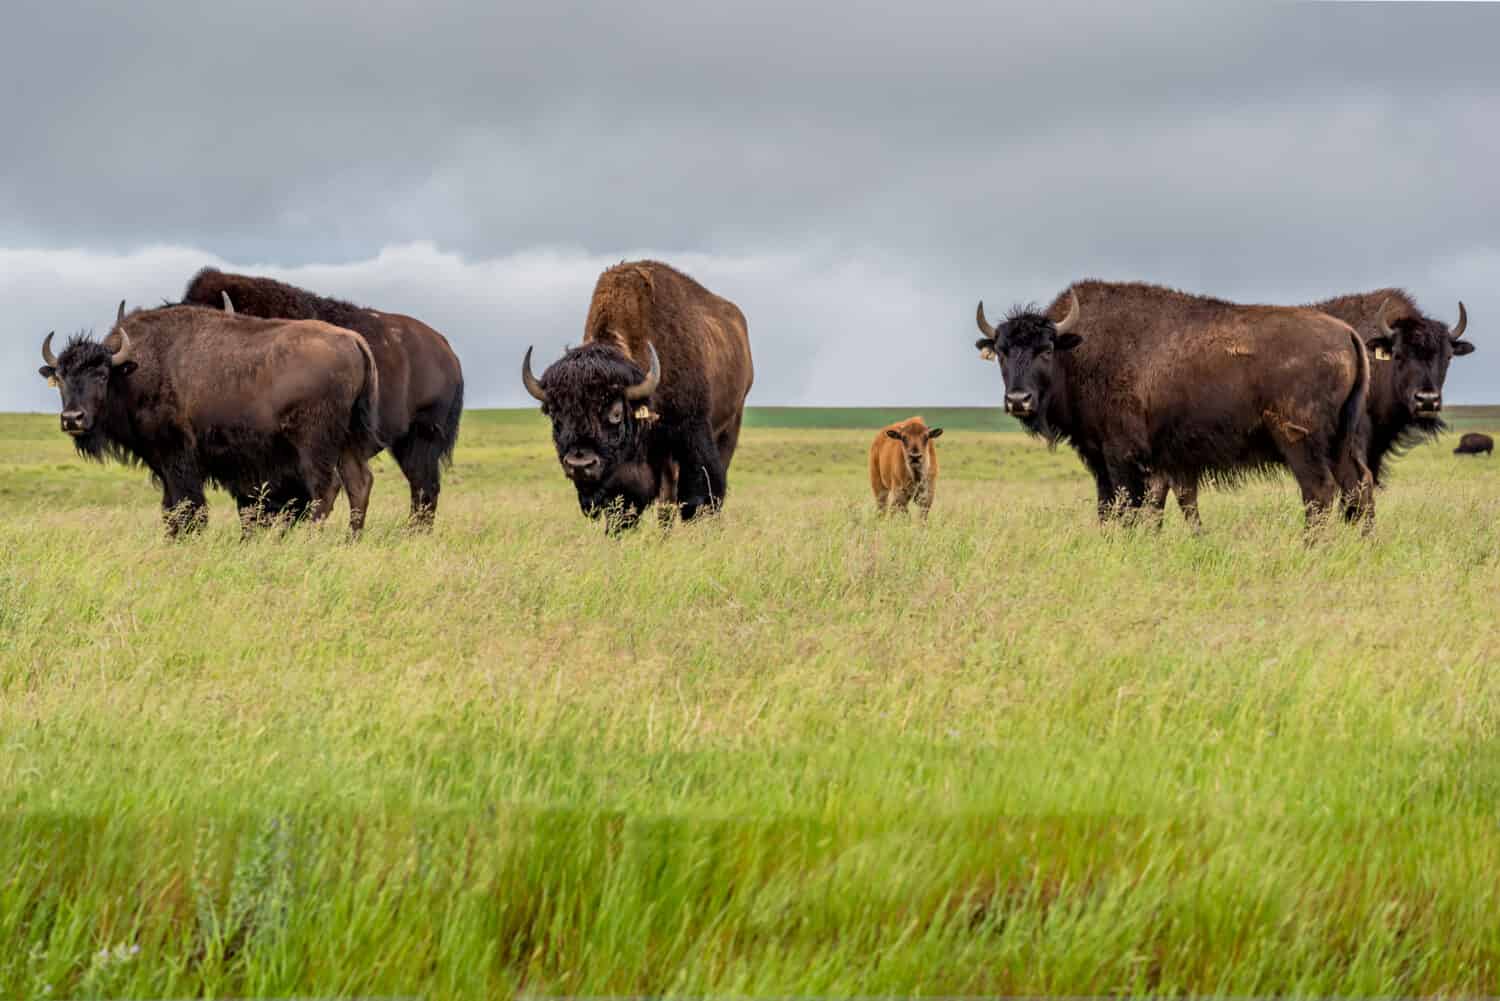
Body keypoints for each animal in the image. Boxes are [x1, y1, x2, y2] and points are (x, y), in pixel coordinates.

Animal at [37, 302, 382, 536]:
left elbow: (187, 506)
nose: (72, 418)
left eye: (101, 374)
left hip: (314, 443)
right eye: (61, 377)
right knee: (359, 483)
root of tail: (353, 340)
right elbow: (171, 508)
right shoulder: (165, 466)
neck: (134, 370)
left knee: (326, 488)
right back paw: (351, 540)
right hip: (349, 439)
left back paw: (311, 539)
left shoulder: (178, 459)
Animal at [521, 260, 753, 529]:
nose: (580, 464)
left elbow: (698, 495)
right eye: (555, 415)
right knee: (666, 500)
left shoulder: (692, 434)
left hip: (731, 423)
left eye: (616, 413)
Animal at [974, 281, 1372, 528]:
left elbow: (1127, 508)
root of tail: (1347, 334)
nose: (1018, 400)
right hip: (1341, 441)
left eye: (1045, 350)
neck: (1079, 350)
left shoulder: (1122, 456)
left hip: (1300, 442)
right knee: (1358, 486)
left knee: (1319, 492)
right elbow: (1114, 508)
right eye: (1002, 352)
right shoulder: (1110, 458)